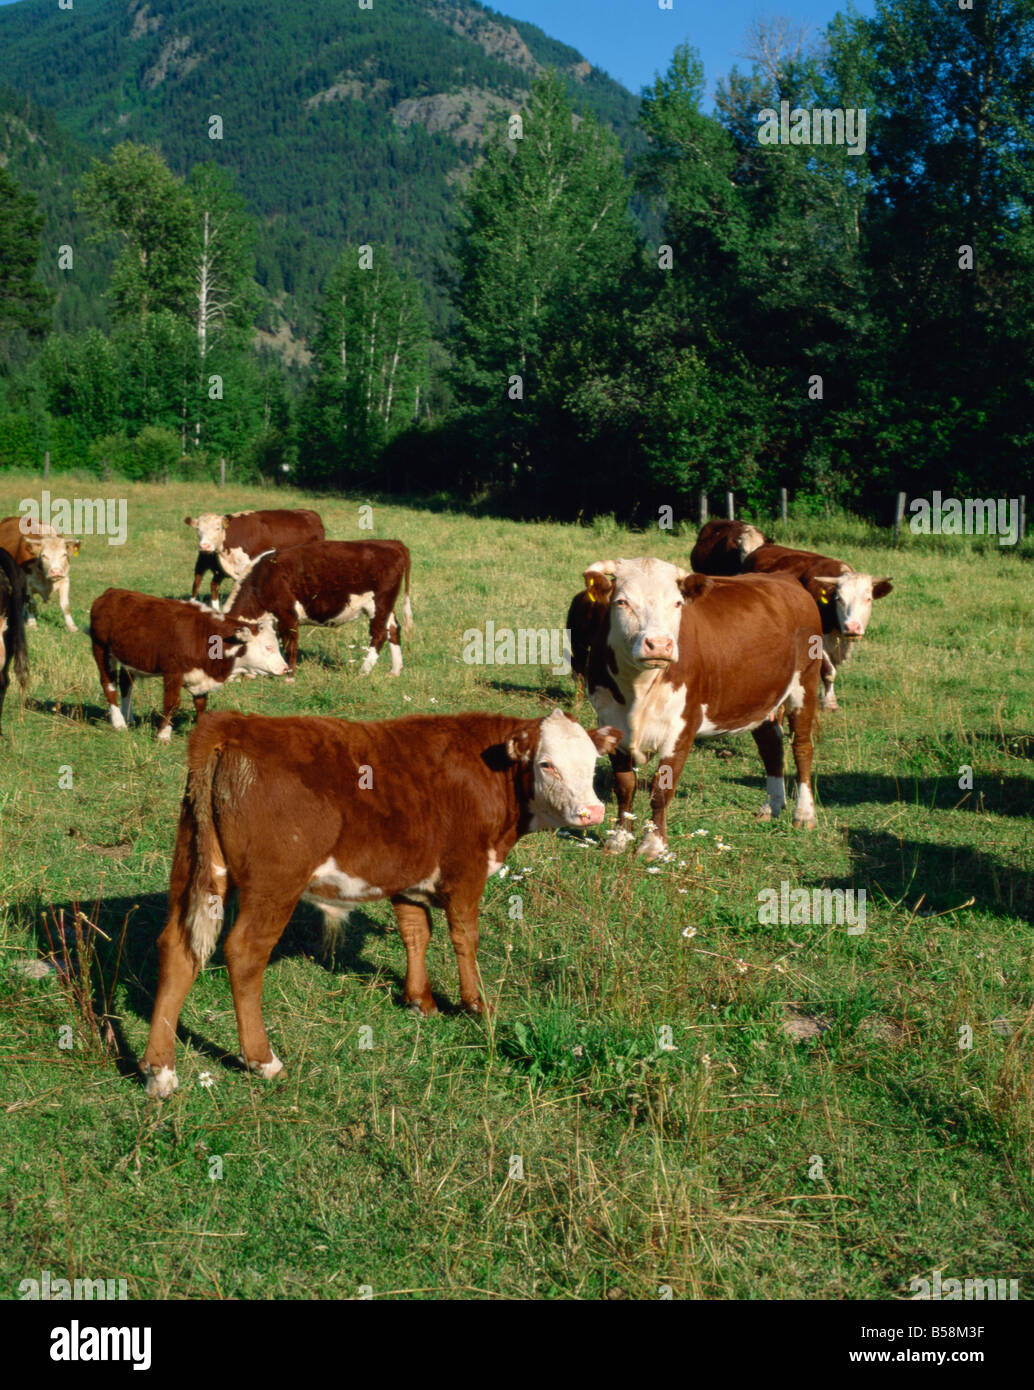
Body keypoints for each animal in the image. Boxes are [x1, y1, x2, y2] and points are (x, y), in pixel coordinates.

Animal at [88, 589, 289, 742]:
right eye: (268, 647)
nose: (286, 668)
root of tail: (110, 593)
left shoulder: (200, 676)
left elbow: (201, 704)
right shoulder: (172, 672)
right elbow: (172, 703)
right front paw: (163, 735)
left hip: (127, 660)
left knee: (126, 685)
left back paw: (128, 717)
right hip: (101, 650)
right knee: (109, 685)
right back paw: (119, 722)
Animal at [139, 707, 621, 1095]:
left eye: (592, 763)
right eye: (547, 764)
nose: (593, 812)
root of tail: (235, 724)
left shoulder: (409, 878)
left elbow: (416, 934)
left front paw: (420, 1000)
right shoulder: (465, 872)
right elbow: (465, 937)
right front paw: (475, 1004)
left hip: (195, 865)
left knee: (177, 948)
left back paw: (159, 1070)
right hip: (274, 883)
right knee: (244, 953)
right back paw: (263, 1059)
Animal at [225, 539, 413, 678]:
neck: (260, 580)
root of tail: (391, 543)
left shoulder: (287, 615)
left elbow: (290, 645)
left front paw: (289, 677)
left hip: (379, 603)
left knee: (379, 634)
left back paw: (363, 672)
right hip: (385, 606)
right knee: (393, 629)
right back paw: (395, 670)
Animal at [566, 557, 823, 858]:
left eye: (677, 603)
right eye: (622, 602)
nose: (659, 645)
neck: (637, 690)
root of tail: (785, 578)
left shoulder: (681, 728)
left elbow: (661, 790)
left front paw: (653, 845)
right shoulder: (610, 721)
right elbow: (625, 786)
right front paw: (618, 838)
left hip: (806, 683)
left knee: (802, 747)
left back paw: (804, 813)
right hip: (761, 696)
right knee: (771, 744)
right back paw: (771, 807)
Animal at [741, 544, 893, 710]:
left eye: (868, 599)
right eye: (839, 599)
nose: (852, 627)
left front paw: (824, 696)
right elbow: (828, 670)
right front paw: (830, 703)